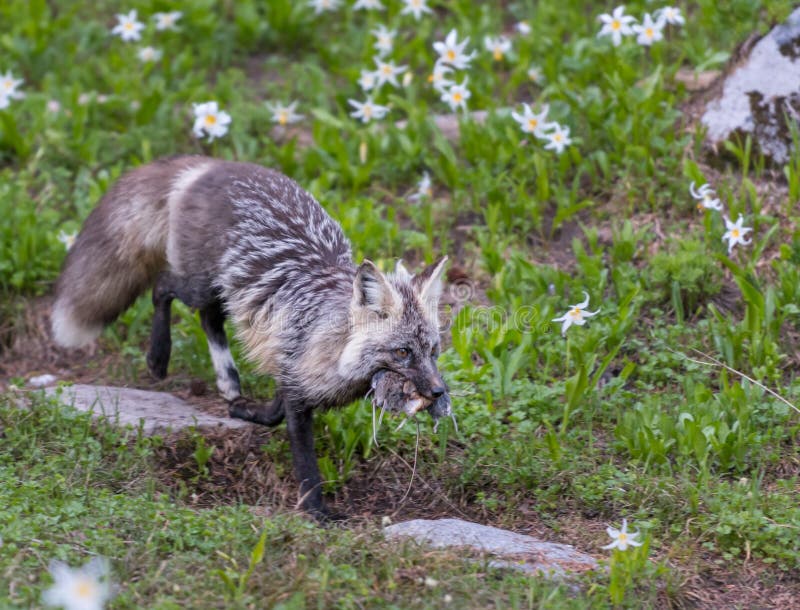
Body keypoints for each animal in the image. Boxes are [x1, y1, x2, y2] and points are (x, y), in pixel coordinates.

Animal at [51, 155, 448, 519]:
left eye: (433, 351)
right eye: (402, 352)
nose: (438, 391)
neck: (333, 347)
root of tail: (214, 165)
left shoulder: (290, 368)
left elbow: (273, 412)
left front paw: (248, 411)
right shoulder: (297, 388)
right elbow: (305, 461)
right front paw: (317, 511)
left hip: (224, 292)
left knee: (208, 319)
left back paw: (228, 381)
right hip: (201, 286)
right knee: (163, 287)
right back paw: (159, 357)